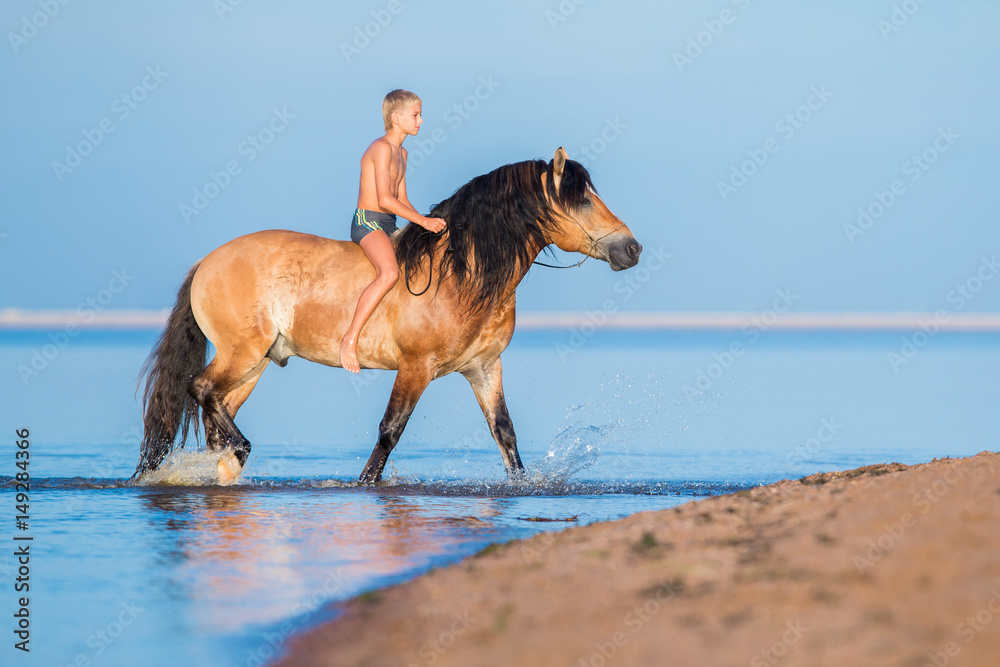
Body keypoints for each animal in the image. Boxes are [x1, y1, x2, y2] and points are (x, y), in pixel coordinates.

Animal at [134, 147, 642, 485]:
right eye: (581, 199)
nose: (631, 248)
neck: (462, 274)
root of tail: (207, 262)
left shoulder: (484, 368)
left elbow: (505, 434)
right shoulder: (415, 368)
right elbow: (389, 432)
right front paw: (364, 485)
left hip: (254, 365)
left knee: (214, 410)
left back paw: (225, 466)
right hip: (241, 355)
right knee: (200, 389)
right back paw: (239, 451)